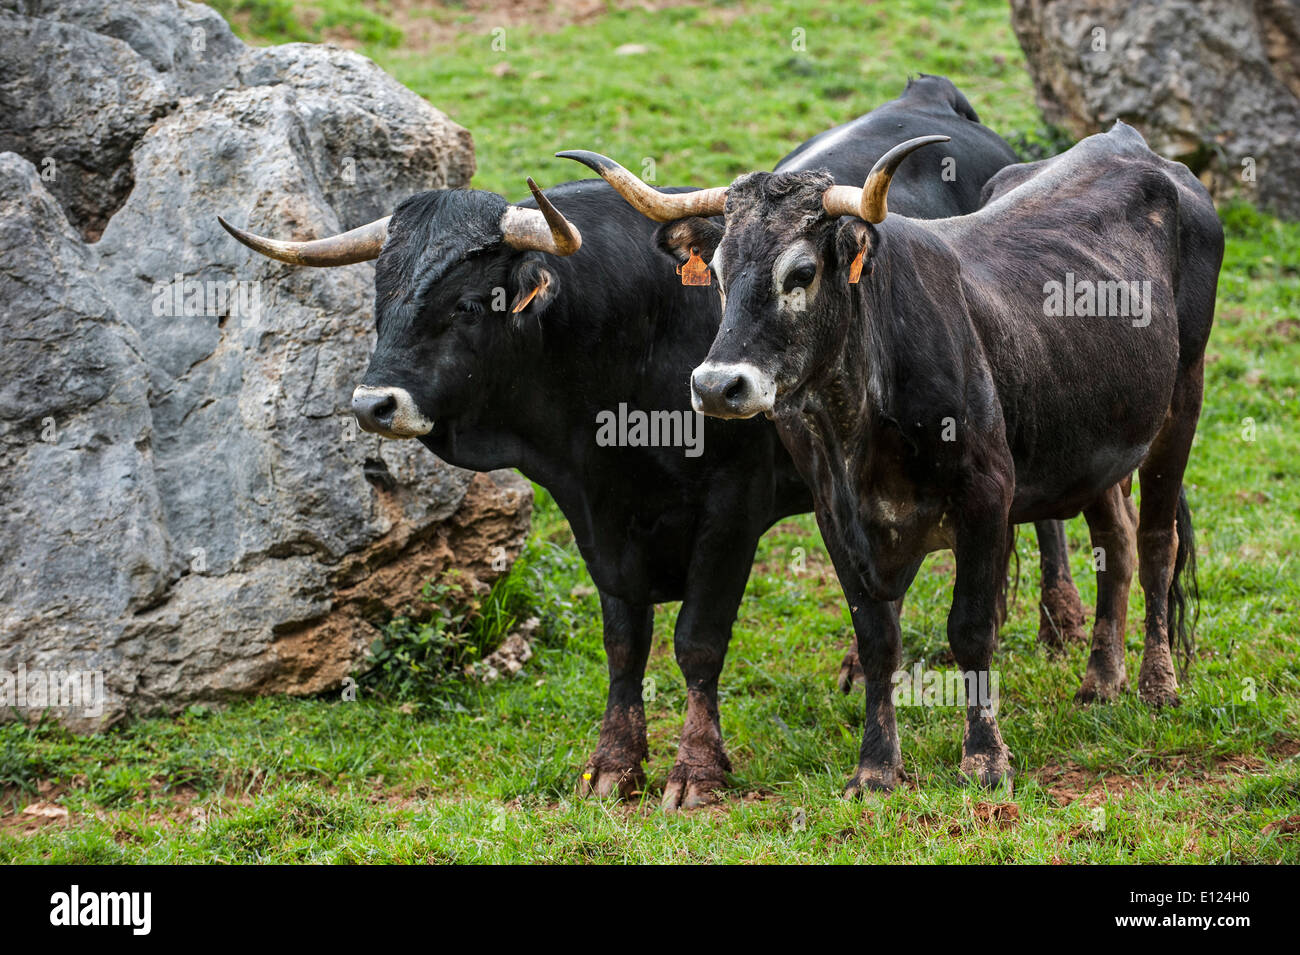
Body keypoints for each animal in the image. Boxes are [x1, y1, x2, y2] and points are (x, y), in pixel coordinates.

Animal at [217, 76, 1079, 808]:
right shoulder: (595, 508)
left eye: (467, 302)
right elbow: (625, 638)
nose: (376, 402)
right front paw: (613, 762)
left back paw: (1062, 621)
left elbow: (697, 640)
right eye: (381, 293)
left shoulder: (732, 509)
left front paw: (696, 769)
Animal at [573, 120, 1222, 793]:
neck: (861, 415)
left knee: (1156, 542)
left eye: (801, 273)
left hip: (1182, 402)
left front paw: (985, 758)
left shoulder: (986, 496)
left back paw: (1157, 685)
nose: (716, 386)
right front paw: (876, 767)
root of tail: (1129, 144)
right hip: (1099, 440)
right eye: (721, 273)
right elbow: (877, 639)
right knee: (1115, 542)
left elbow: (971, 630)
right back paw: (1101, 680)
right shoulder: (836, 517)